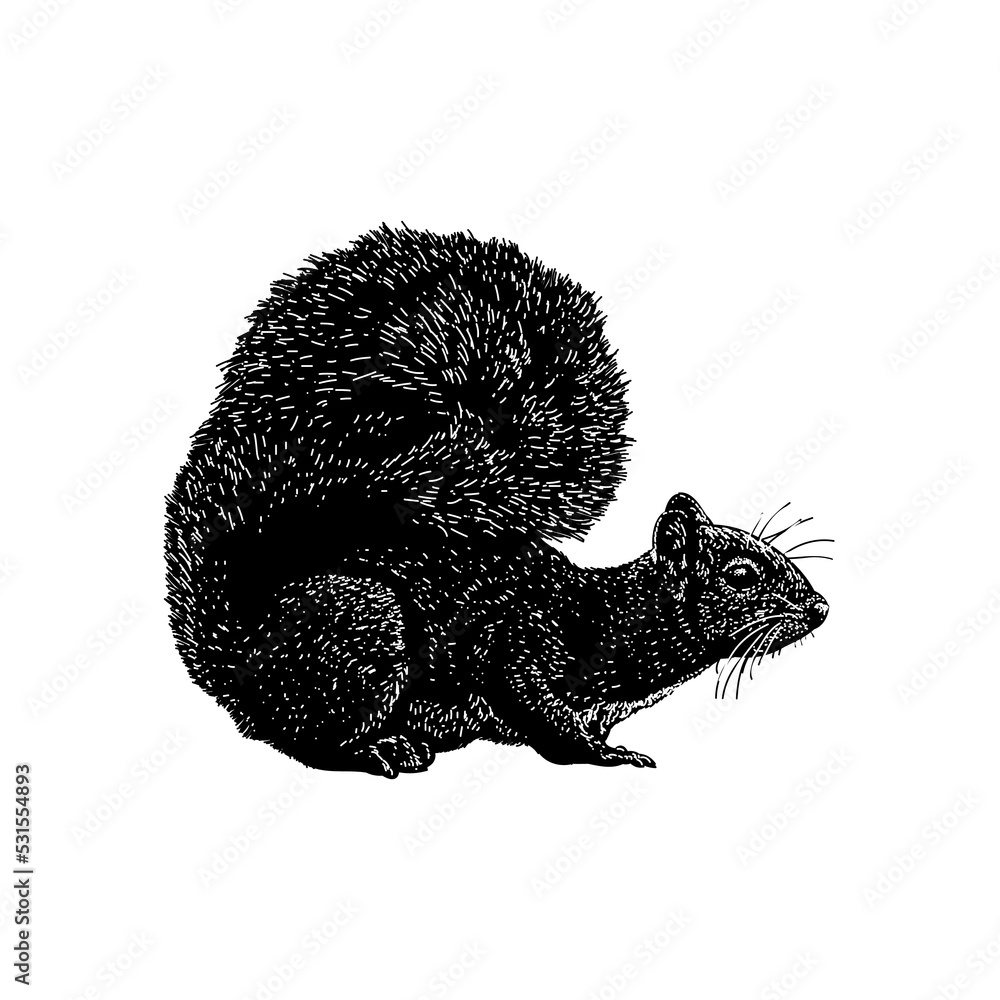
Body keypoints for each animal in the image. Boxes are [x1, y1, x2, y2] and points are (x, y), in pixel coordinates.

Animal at [164, 225, 829, 778]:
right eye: (741, 575)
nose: (820, 609)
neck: (612, 619)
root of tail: (239, 658)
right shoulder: (523, 646)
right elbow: (540, 713)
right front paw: (608, 756)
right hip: (360, 635)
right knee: (309, 738)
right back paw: (382, 749)